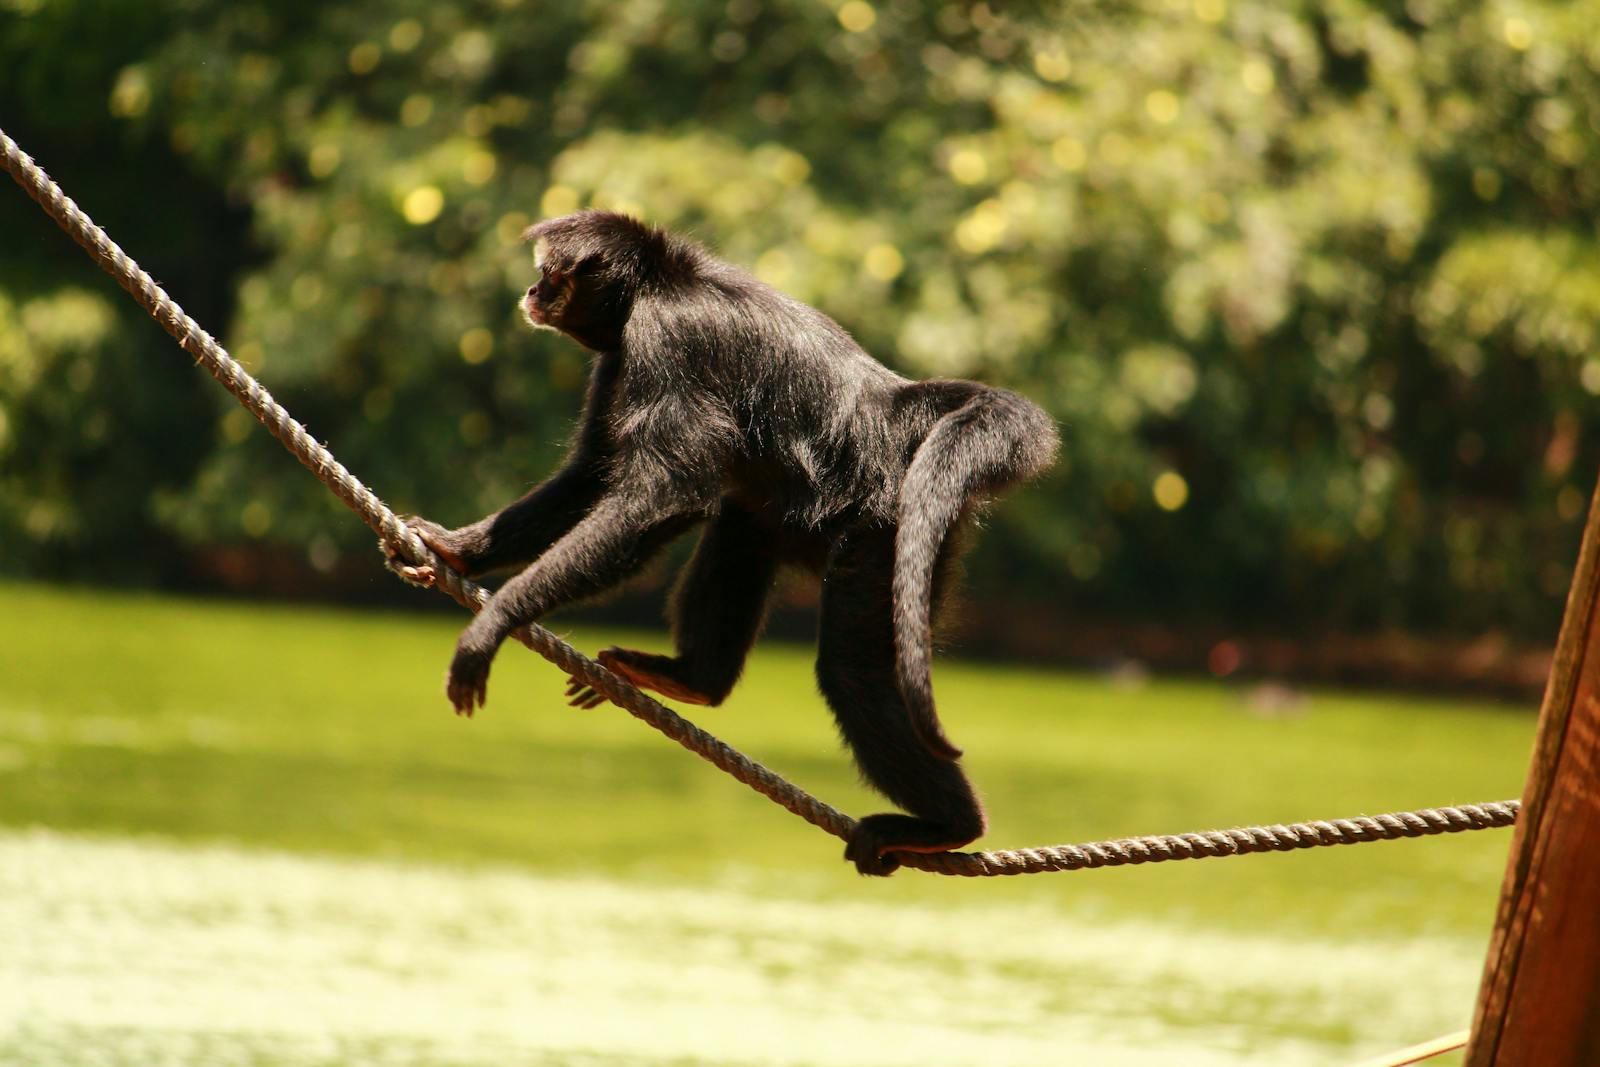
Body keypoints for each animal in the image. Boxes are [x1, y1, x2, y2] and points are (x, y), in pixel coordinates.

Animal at [384, 210, 1058, 875]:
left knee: (851, 670)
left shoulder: (662, 338)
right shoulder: (622, 354)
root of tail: (896, 415)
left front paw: (493, 621)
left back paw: (949, 826)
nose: (532, 291)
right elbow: (591, 476)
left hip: (880, 529)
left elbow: (666, 495)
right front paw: (453, 547)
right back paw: (694, 679)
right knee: (744, 524)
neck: (664, 284)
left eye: (552, 276)